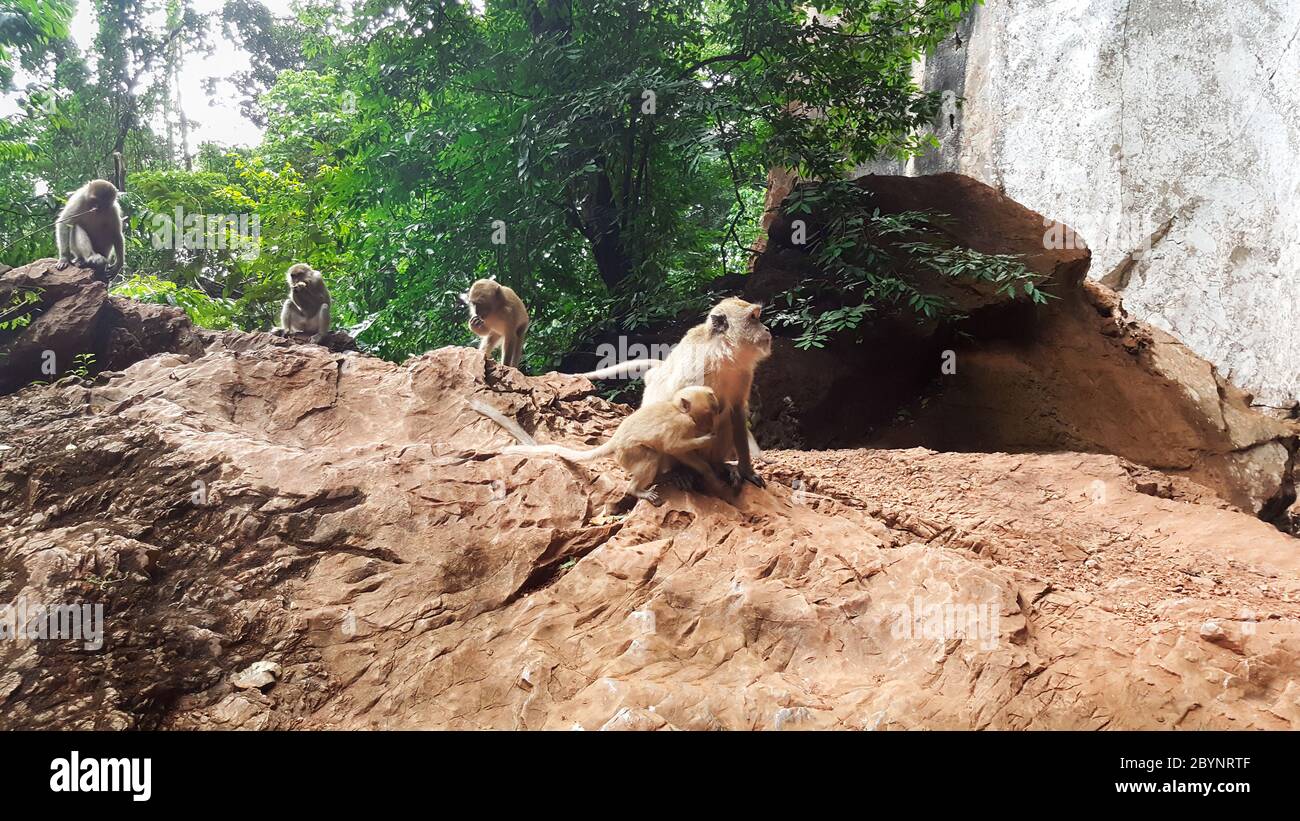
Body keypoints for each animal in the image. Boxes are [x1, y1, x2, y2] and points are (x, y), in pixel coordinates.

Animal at [500, 386, 733, 512]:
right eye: (710, 397)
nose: (717, 399)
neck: (679, 409)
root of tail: (615, 440)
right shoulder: (681, 423)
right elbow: (673, 447)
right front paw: (708, 440)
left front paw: (710, 468)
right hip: (629, 453)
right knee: (651, 457)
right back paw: (636, 489)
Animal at [577, 297, 772, 489]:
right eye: (753, 318)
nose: (767, 329)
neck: (723, 355)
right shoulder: (697, 368)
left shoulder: (744, 372)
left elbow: (737, 411)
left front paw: (747, 471)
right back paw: (680, 471)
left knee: (725, 419)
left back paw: (719, 465)